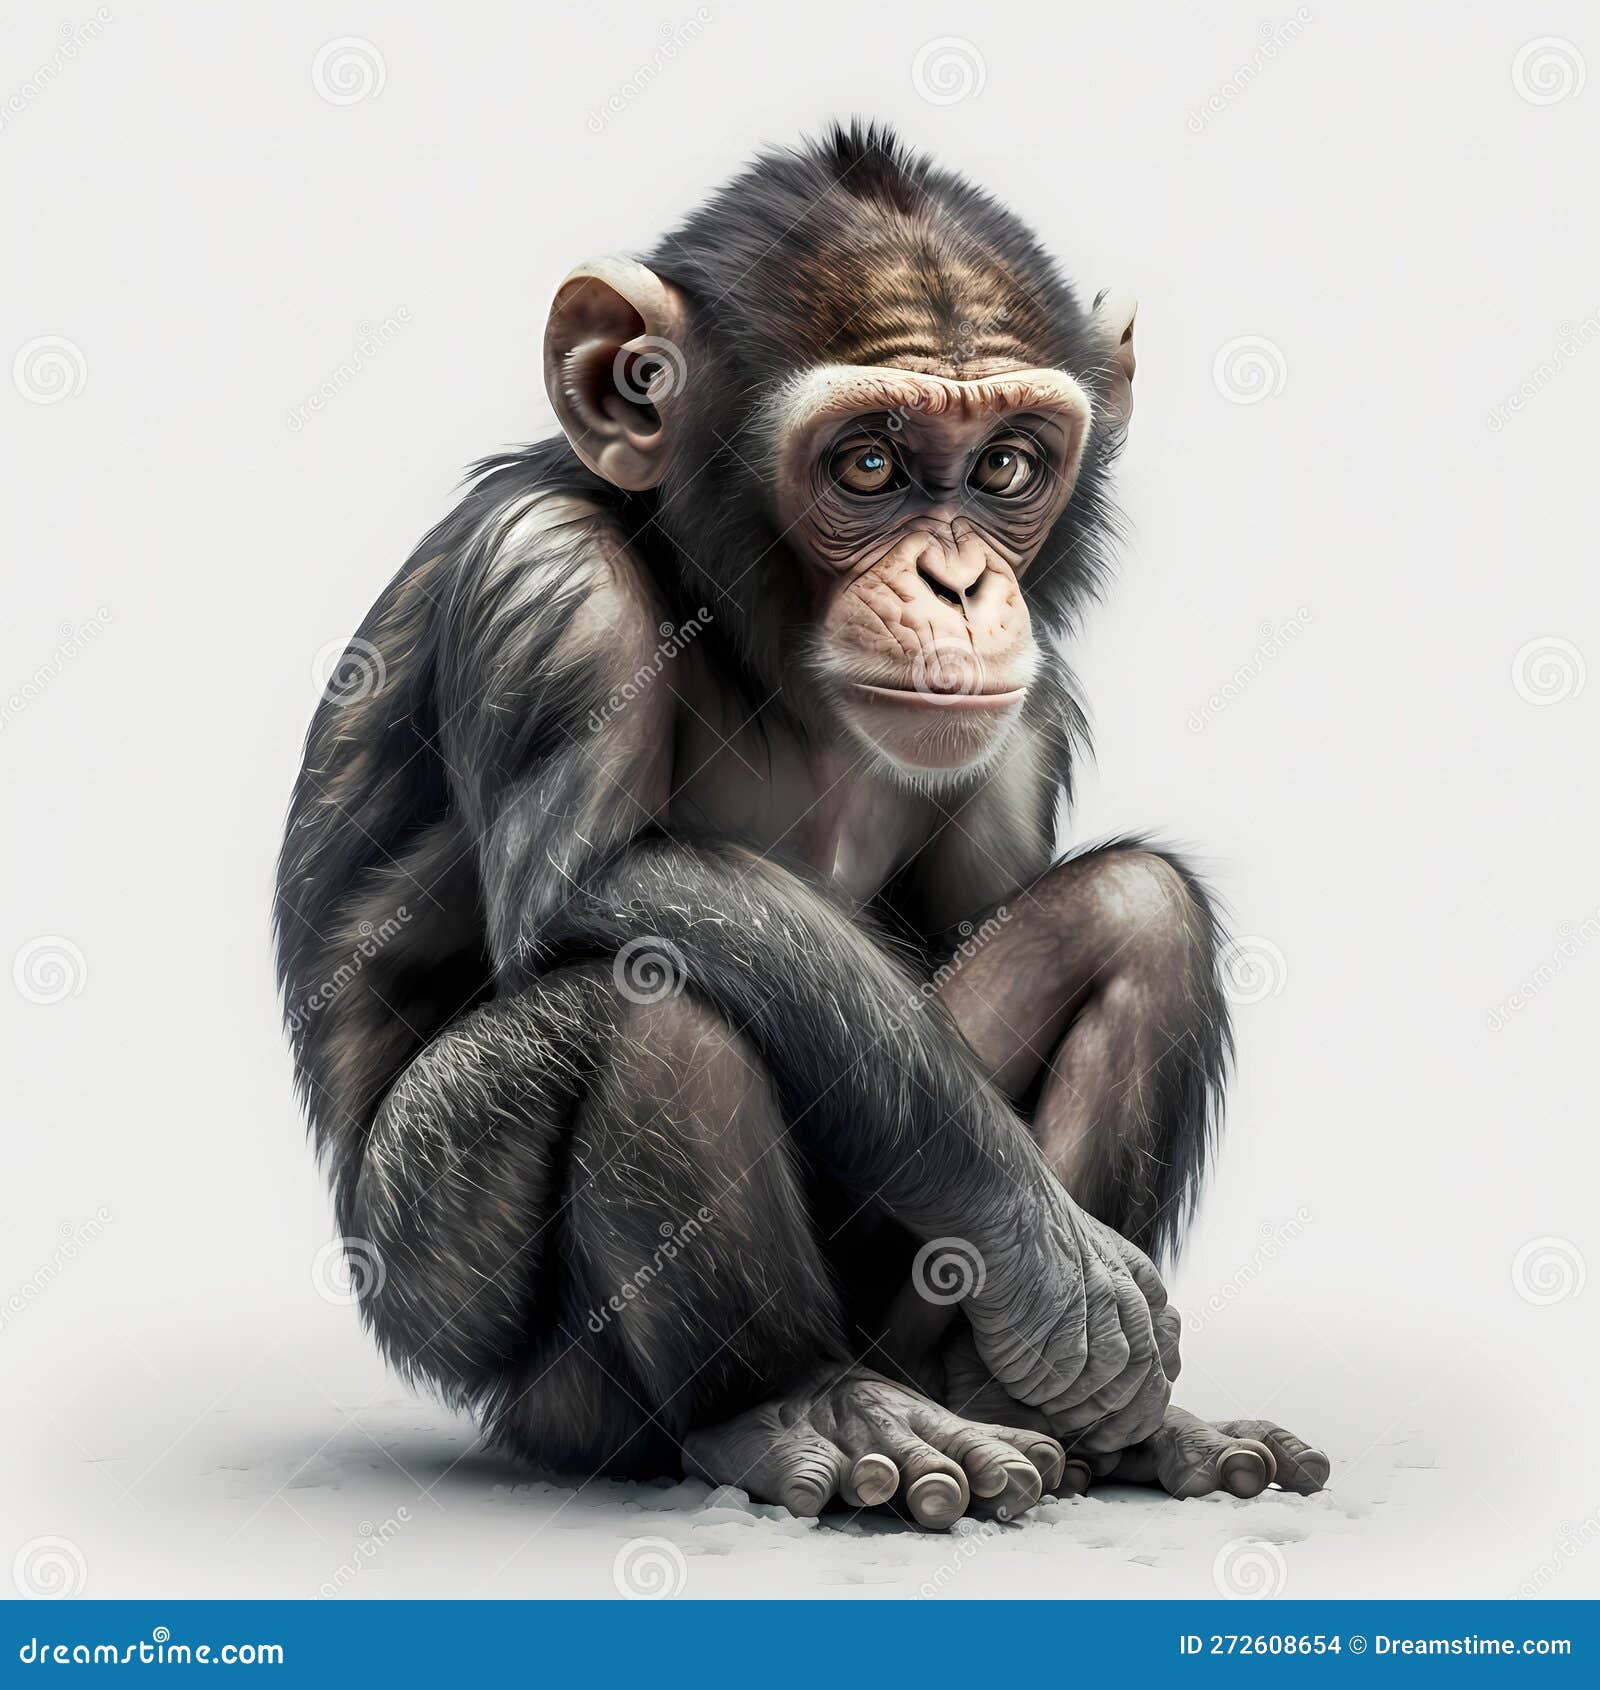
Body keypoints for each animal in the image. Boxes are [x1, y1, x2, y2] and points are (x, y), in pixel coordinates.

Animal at [275, 123, 1327, 1530]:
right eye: (867, 463)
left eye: (1005, 465)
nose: (958, 581)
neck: (739, 617)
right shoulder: (545, 582)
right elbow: (599, 881)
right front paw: (1047, 1248)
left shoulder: (1026, 704)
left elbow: (994, 908)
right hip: (516, 1365)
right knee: (646, 1002)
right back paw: (807, 1408)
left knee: (1135, 909)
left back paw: (1051, 1421)